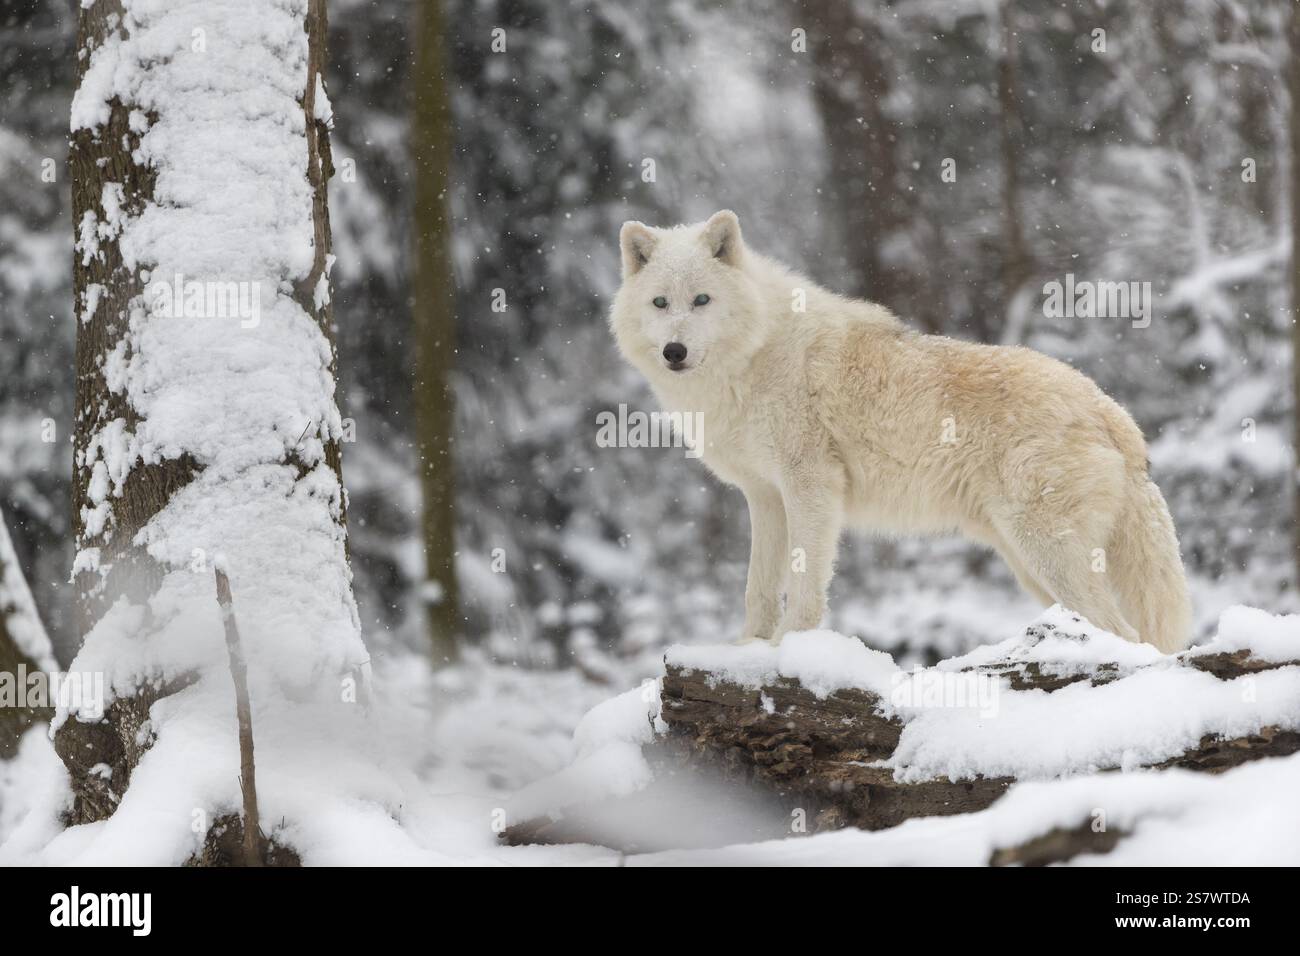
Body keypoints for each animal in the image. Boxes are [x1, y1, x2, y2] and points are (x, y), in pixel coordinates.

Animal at [609, 210, 1192, 653]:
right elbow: (759, 588)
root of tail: (1114, 413)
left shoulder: (811, 486)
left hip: (1046, 552)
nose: (675, 351)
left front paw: (788, 652)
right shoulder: (764, 496)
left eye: (701, 300)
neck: (754, 355)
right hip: (1028, 563)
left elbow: (804, 586)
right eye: (660, 303)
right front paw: (749, 649)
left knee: (1126, 633)